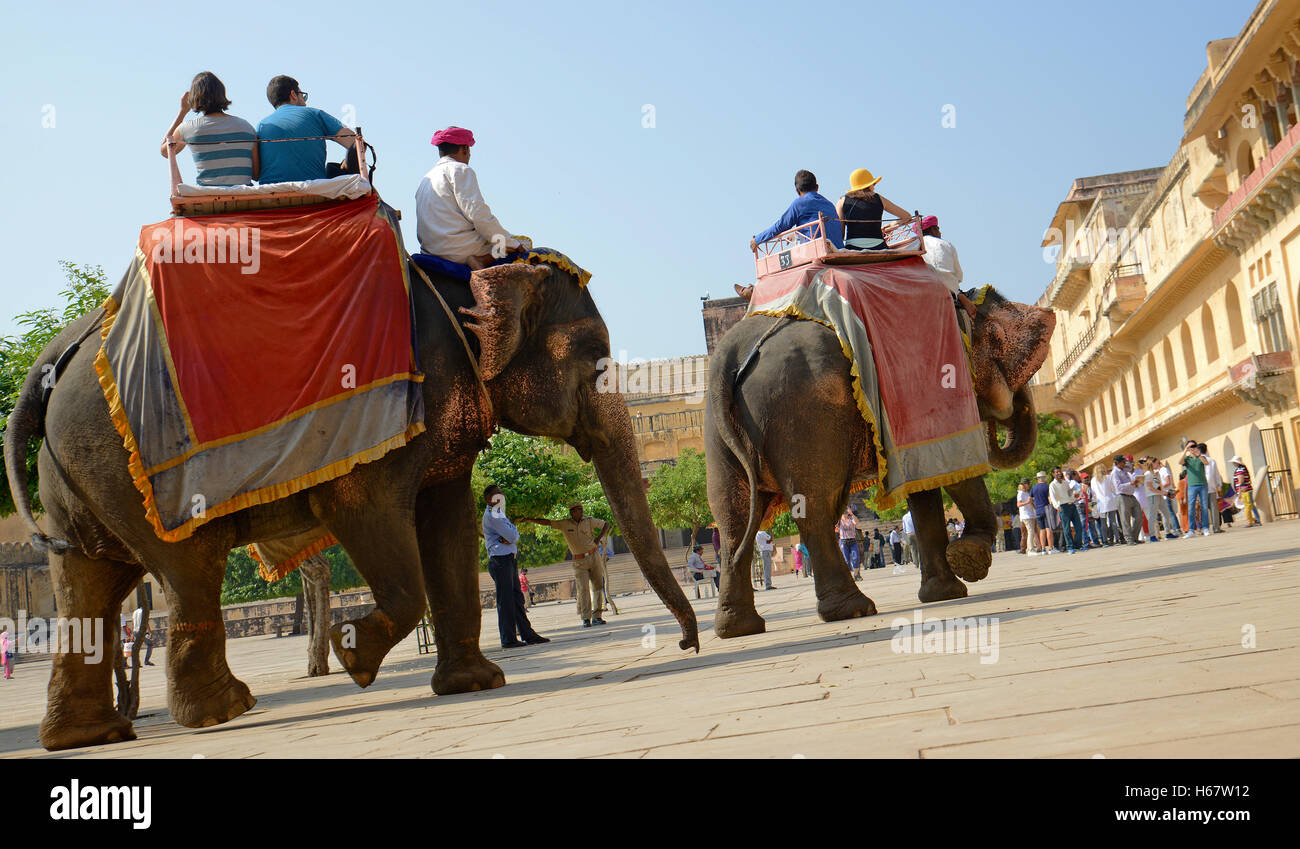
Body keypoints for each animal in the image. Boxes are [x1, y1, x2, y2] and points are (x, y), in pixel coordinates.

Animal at [4, 261, 699, 751]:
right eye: (593, 352)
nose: (688, 645)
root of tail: (51, 360)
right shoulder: (384, 412)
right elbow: (368, 514)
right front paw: (353, 656)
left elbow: (449, 524)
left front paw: (474, 686)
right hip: (127, 465)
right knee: (187, 568)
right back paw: (225, 710)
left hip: (77, 477)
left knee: (89, 580)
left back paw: (89, 737)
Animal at [704, 287, 1054, 638]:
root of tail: (729, 354)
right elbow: (951, 462)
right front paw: (969, 558)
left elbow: (922, 479)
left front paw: (945, 592)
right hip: (804, 412)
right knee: (814, 507)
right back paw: (853, 609)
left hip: (723, 434)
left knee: (732, 519)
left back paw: (738, 628)